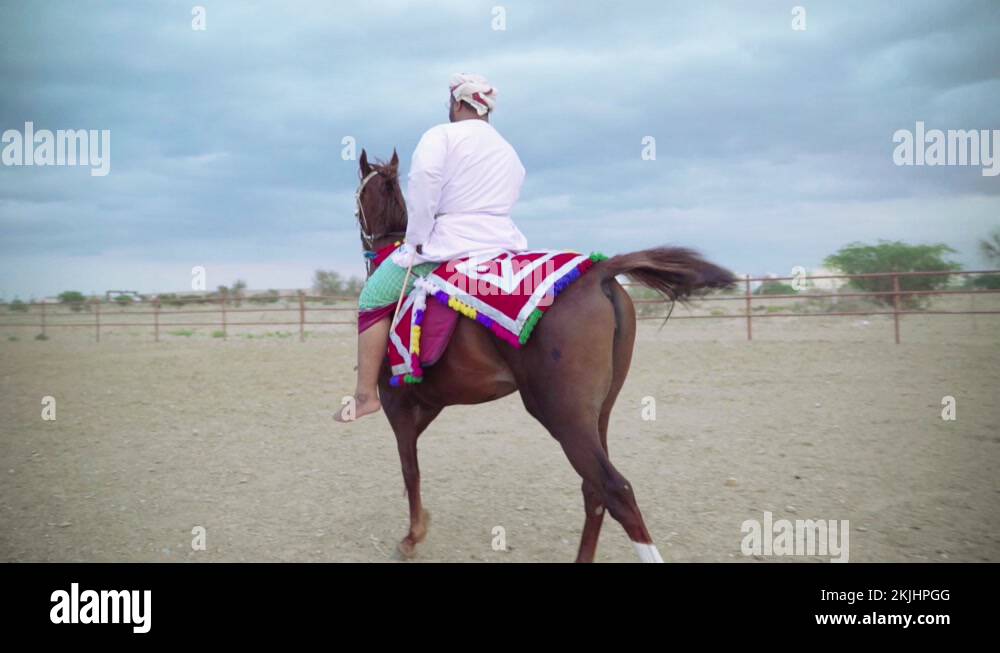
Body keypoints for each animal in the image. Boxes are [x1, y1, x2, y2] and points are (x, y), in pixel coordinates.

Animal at [353, 149, 736, 562]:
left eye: (359, 199)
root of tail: (599, 272)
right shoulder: (429, 402)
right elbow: (414, 466)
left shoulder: (397, 404)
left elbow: (410, 469)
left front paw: (412, 537)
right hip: (597, 413)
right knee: (594, 491)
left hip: (562, 414)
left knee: (616, 490)